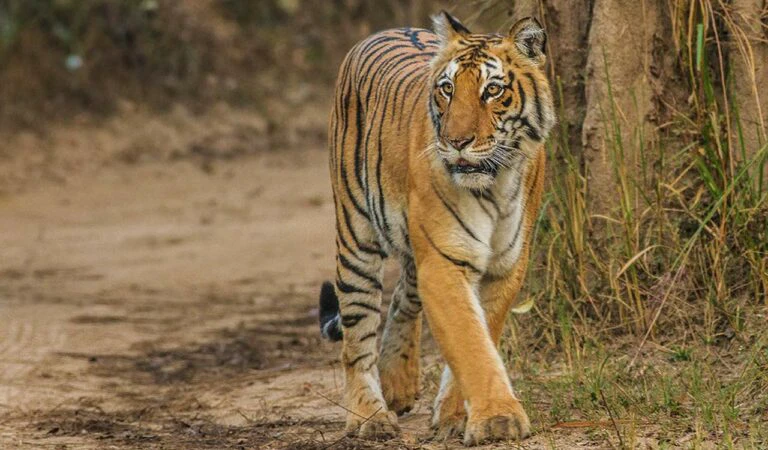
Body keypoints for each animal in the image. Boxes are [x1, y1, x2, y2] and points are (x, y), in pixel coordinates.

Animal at [317, 11, 555, 446]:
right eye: (447, 89)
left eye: (492, 90)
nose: (456, 141)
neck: (494, 185)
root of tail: (385, 30)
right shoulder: (444, 262)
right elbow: (469, 341)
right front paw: (497, 419)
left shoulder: (506, 265)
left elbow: (482, 334)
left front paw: (455, 415)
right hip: (356, 236)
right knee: (357, 336)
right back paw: (369, 416)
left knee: (402, 298)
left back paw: (398, 383)